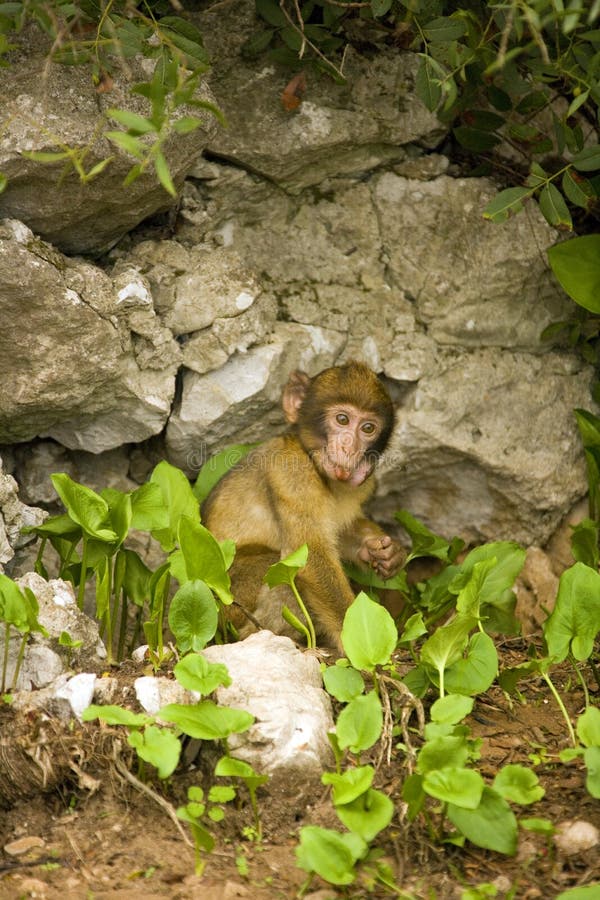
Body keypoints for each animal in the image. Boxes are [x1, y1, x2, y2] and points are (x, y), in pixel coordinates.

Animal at [202, 361, 405, 653]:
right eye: (342, 420)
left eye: (368, 428)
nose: (349, 447)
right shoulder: (292, 471)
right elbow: (311, 558)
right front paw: (360, 645)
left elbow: (339, 533)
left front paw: (383, 551)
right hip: (228, 599)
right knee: (280, 573)